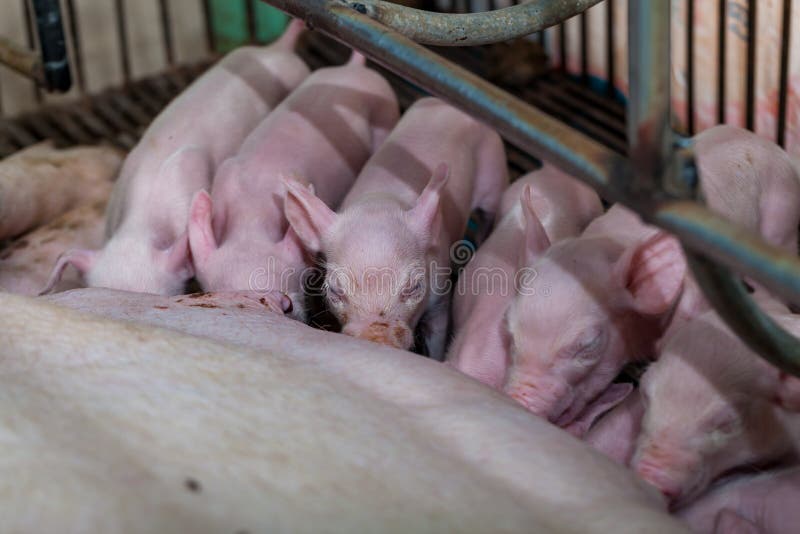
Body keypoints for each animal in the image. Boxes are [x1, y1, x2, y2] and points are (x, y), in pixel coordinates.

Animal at [284, 97, 508, 357]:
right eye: (334, 290)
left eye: (414, 286)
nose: (375, 338)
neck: (380, 201)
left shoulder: (440, 298)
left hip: (494, 176)